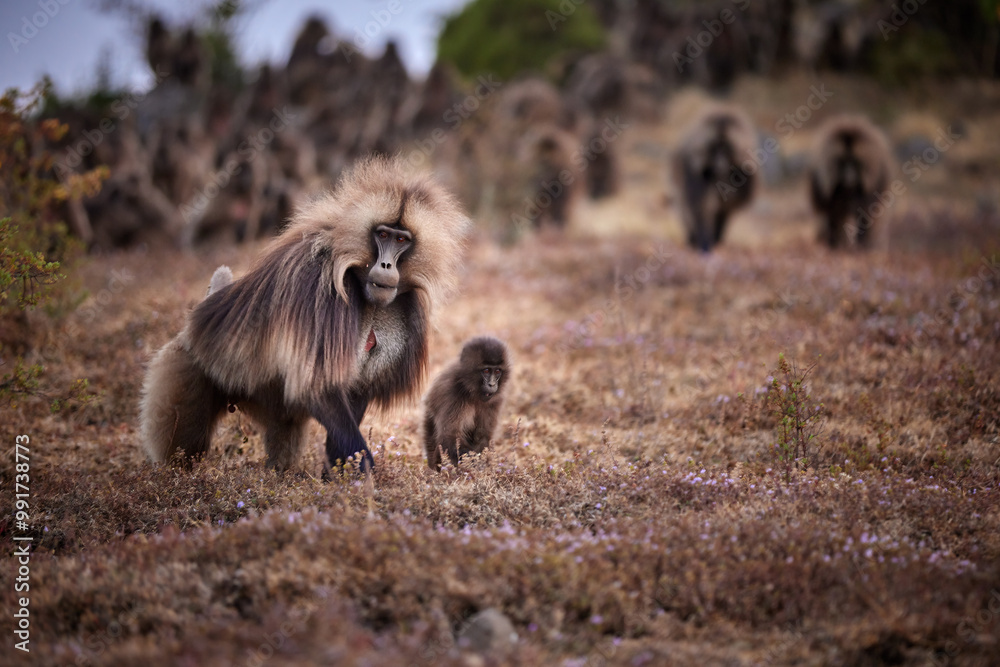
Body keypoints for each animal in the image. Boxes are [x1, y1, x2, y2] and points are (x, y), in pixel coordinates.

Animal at [139, 156, 470, 474]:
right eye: (383, 234)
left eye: (402, 240)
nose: (387, 266)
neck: (364, 289)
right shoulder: (318, 289)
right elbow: (319, 386)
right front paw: (366, 475)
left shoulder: (401, 311)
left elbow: (354, 392)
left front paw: (338, 477)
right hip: (184, 369)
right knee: (184, 452)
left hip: (277, 412)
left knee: (282, 445)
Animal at [422, 337, 509, 471]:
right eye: (486, 370)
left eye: (498, 371)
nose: (492, 384)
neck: (469, 389)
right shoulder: (452, 394)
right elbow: (449, 437)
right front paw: (476, 464)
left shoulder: (495, 401)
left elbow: (483, 436)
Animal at [671, 105, 757, 252]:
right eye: (715, 148)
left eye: (726, 148)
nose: (719, 164)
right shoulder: (696, 175)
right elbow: (700, 208)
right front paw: (704, 244)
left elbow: (724, 211)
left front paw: (716, 240)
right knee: (685, 208)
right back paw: (693, 239)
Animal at [808, 114, 893, 249]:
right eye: (843, 162)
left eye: (854, 162)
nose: (849, 176)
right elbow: (833, 215)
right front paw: (835, 244)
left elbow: (866, 215)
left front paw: (863, 245)